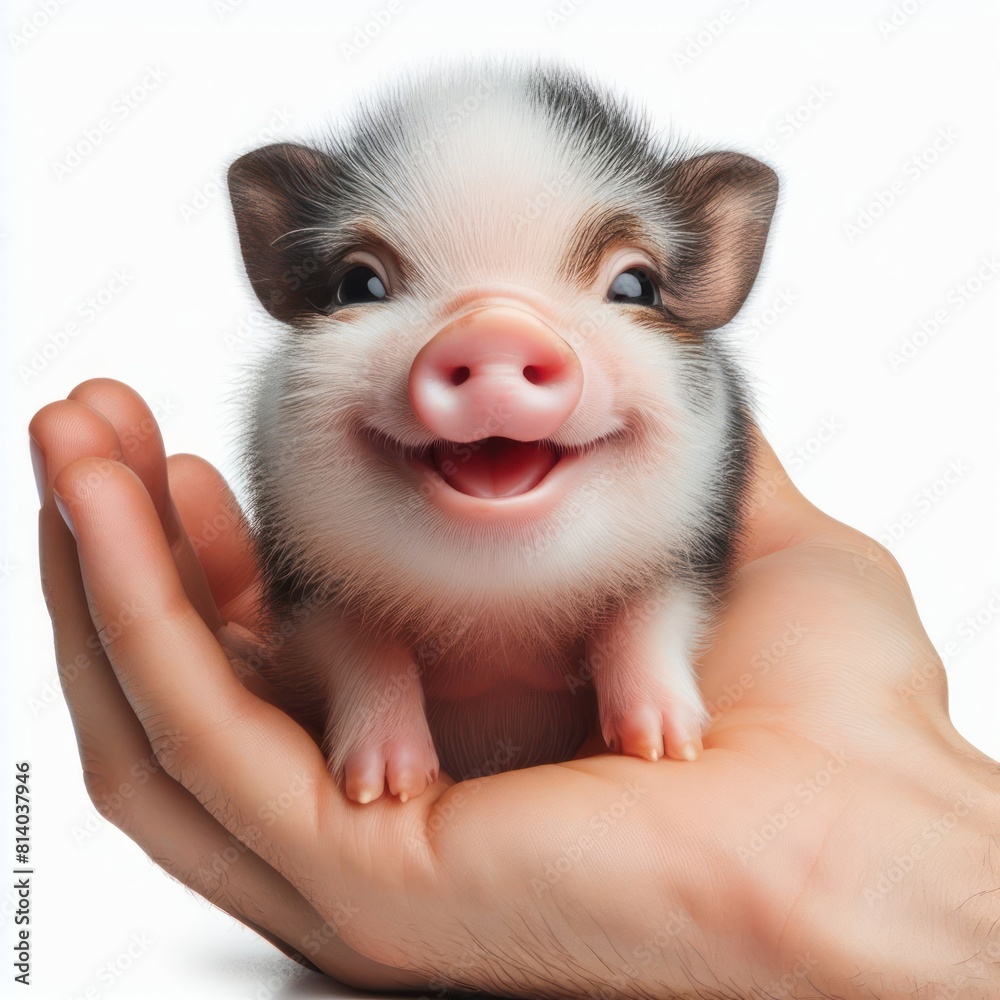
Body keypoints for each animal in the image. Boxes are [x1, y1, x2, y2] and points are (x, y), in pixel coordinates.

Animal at [226, 62, 777, 804]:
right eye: (358, 285)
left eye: (635, 286)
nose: (493, 326)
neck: (498, 611)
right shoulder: (301, 581)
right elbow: (359, 649)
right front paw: (385, 787)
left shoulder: (696, 544)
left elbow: (649, 616)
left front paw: (667, 747)